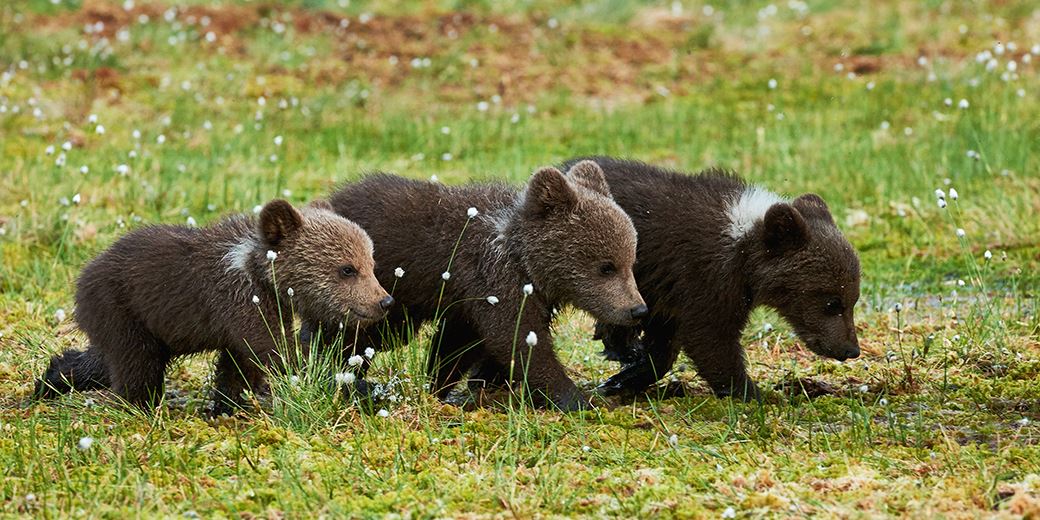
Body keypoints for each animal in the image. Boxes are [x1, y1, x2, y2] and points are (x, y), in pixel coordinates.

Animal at [34, 199, 393, 416]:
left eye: (371, 263)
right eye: (347, 269)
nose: (384, 301)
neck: (260, 273)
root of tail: (84, 273)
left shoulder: (249, 314)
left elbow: (238, 366)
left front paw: (227, 406)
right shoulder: (237, 299)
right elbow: (275, 350)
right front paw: (359, 386)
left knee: (101, 362)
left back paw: (48, 382)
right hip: (122, 310)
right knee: (136, 367)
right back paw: (143, 406)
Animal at [302, 161, 647, 411]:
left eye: (630, 261)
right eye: (606, 266)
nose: (637, 309)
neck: (523, 258)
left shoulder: (473, 301)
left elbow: (459, 344)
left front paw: (448, 385)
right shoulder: (494, 280)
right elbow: (518, 339)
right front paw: (576, 398)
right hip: (359, 291)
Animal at [555, 157, 861, 401]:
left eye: (852, 300)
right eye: (832, 303)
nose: (851, 349)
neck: (743, 246)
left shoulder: (670, 290)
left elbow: (666, 340)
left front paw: (626, 376)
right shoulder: (704, 277)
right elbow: (710, 336)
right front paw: (755, 393)